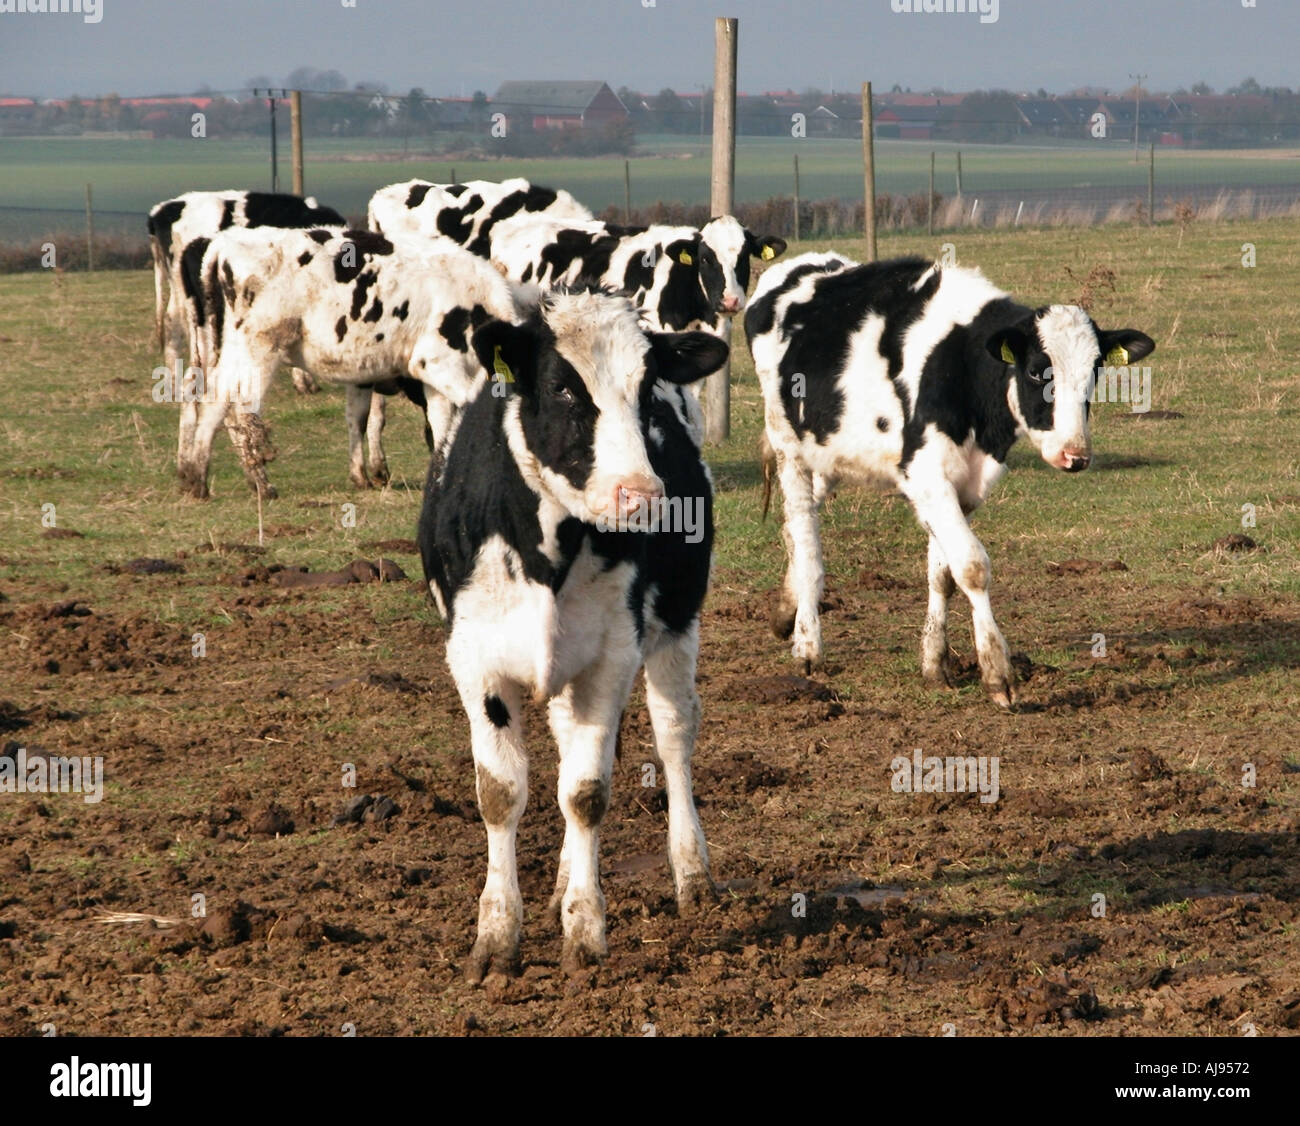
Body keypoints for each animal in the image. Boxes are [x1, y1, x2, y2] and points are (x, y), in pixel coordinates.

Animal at [177, 227, 526, 500]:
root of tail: (223, 243)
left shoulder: (431, 377)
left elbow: (436, 425)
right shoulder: (435, 362)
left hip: (223, 349)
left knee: (214, 402)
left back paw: (198, 479)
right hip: (259, 347)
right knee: (241, 410)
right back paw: (259, 484)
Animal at [418, 291, 728, 980]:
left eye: (647, 390)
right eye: (563, 387)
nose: (640, 495)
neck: (548, 550)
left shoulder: (612, 655)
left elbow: (586, 794)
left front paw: (584, 931)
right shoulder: (475, 661)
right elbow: (501, 793)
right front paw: (496, 936)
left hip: (676, 626)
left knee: (674, 737)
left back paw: (692, 874)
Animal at [745, 252, 1155, 708]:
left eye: (1096, 371)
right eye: (1035, 372)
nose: (1075, 454)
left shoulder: (967, 484)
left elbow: (943, 575)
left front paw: (934, 664)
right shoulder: (926, 473)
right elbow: (972, 567)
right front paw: (997, 674)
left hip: (826, 453)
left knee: (793, 525)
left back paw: (786, 611)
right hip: (788, 446)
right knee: (805, 538)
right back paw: (807, 646)